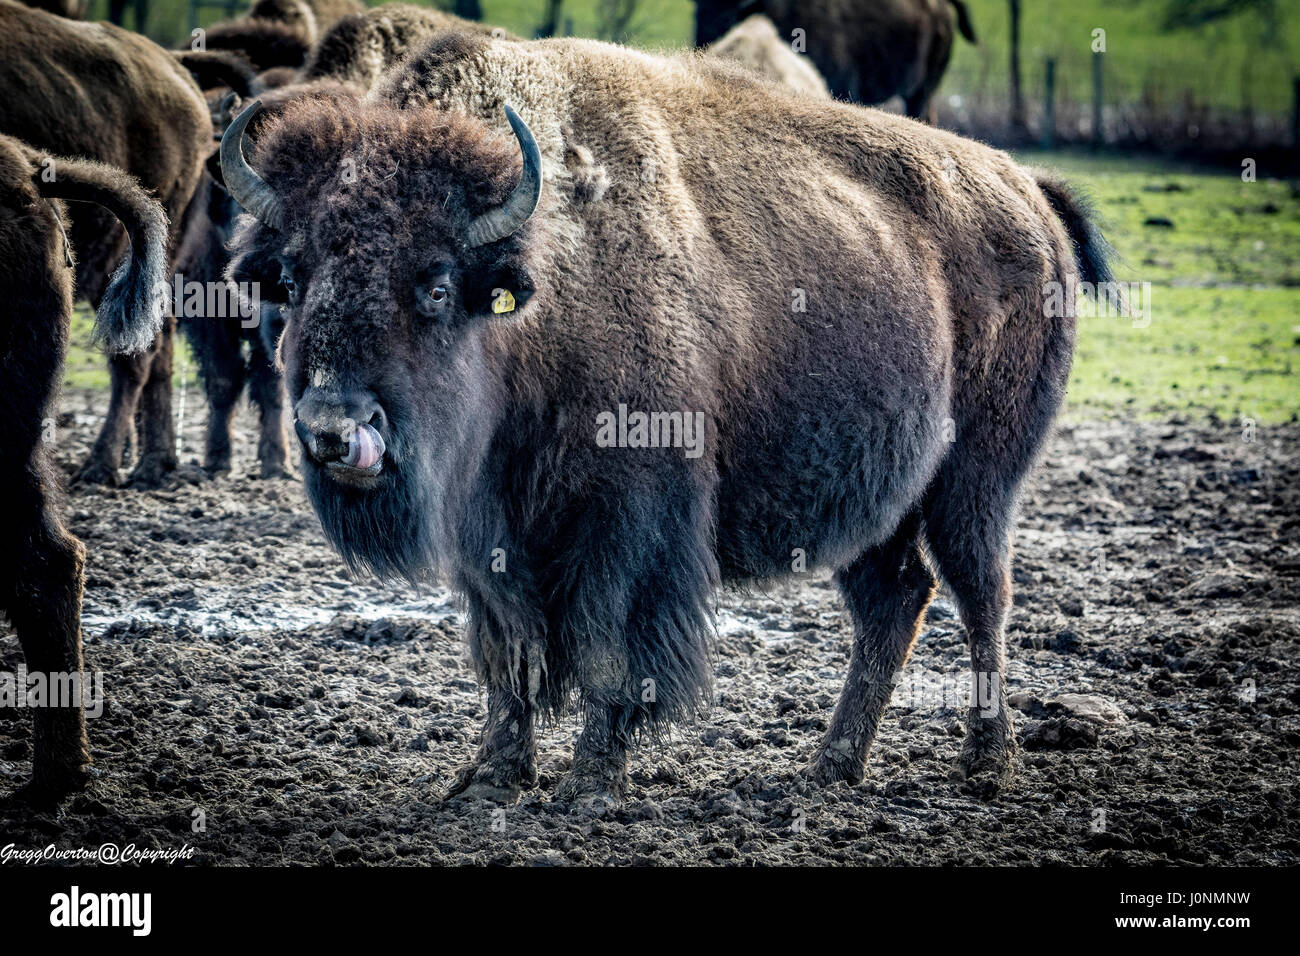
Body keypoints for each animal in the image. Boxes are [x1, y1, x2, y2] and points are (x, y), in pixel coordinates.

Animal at [221, 32, 1109, 802]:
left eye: (437, 282)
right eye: (292, 277)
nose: (333, 427)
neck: (540, 288)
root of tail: (1029, 192)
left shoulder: (631, 520)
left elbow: (610, 652)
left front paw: (589, 783)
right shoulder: (491, 537)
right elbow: (508, 657)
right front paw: (492, 778)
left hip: (976, 483)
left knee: (982, 594)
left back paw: (986, 764)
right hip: (876, 503)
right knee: (894, 602)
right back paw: (829, 767)